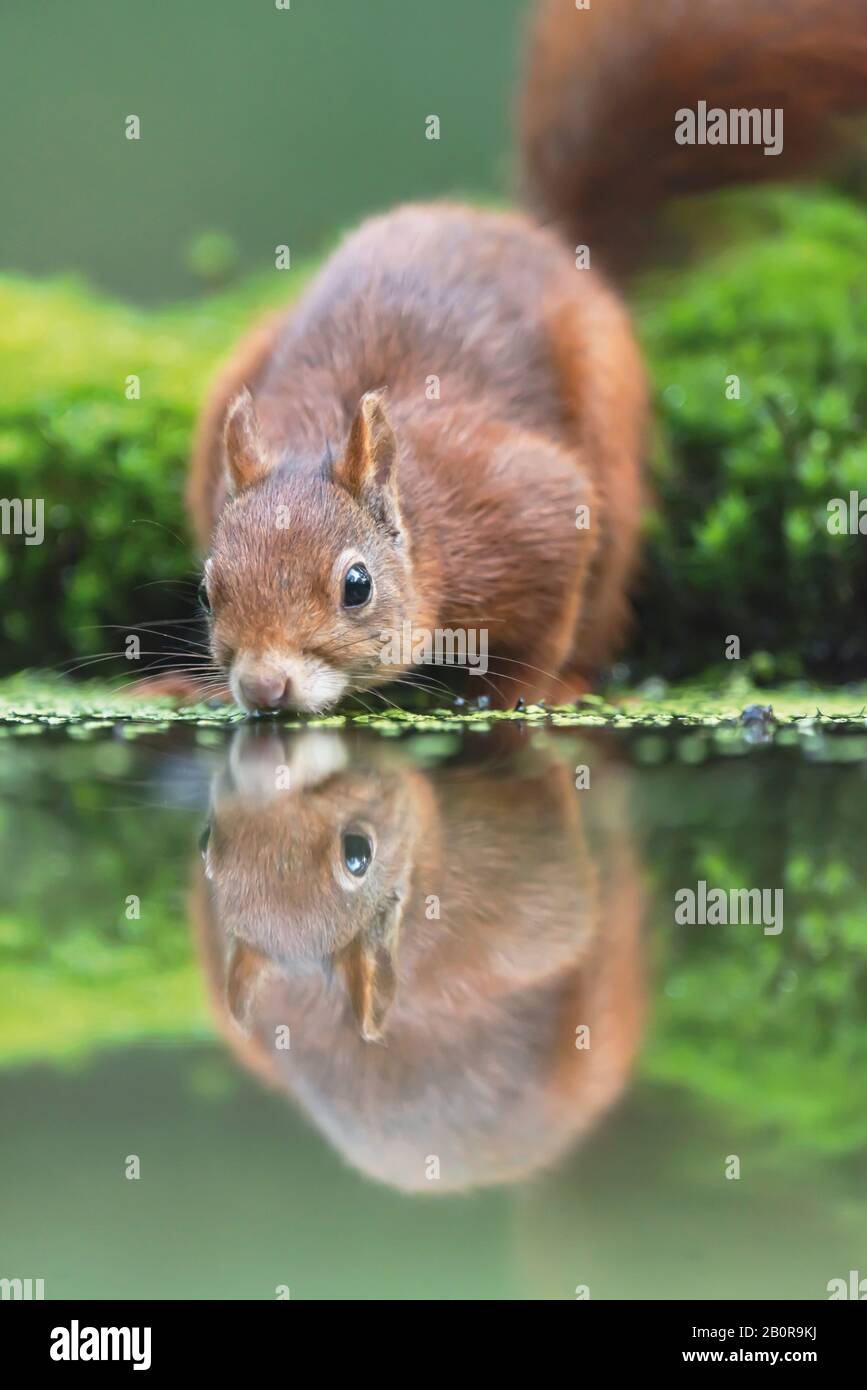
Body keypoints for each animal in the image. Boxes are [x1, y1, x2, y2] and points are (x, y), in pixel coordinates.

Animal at [186, 0, 867, 714]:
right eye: (206, 591)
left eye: (357, 585)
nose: (263, 687)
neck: (425, 520)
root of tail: (547, 238)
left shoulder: (531, 509)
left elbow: (544, 629)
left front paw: (513, 697)